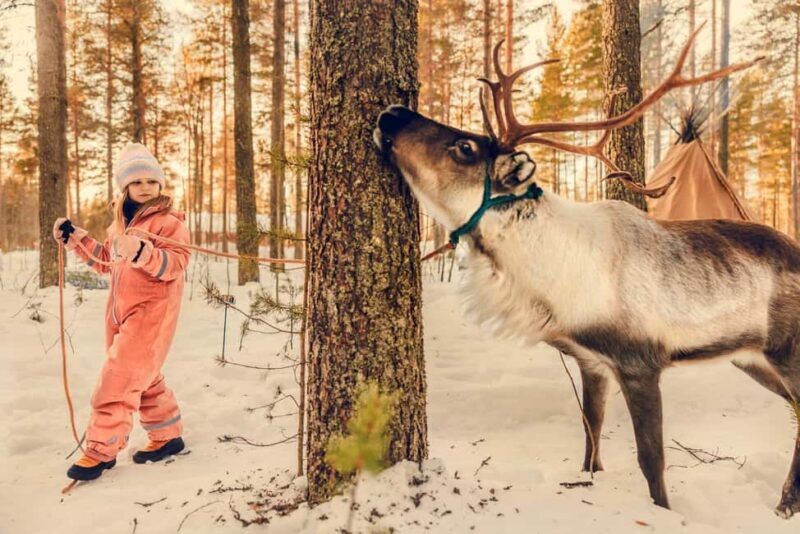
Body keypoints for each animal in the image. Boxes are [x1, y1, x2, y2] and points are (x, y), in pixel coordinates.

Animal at [373, 27, 800, 518]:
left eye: (465, 148)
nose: (392, 113)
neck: (553, 284)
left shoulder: (640, 361)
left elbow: (651, 459)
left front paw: (663, 512)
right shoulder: (590, 360)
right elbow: (591, 431)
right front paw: (590, 478)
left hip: (786, 352)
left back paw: (784, 503)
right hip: (751, 359)